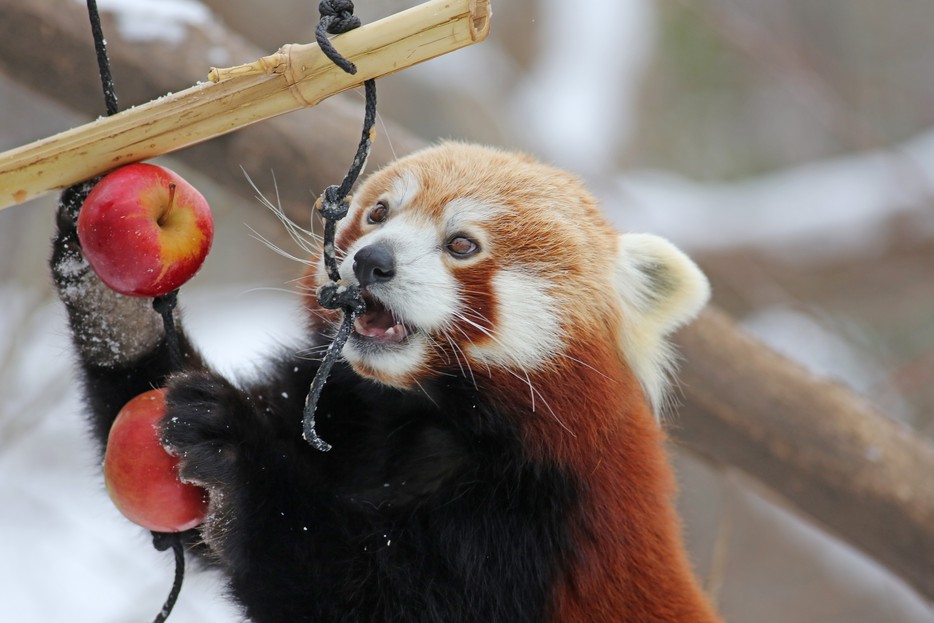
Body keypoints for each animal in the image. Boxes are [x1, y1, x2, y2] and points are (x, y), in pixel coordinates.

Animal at [52, 142, 721, 622]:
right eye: (378, 213)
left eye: (461, 244)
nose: (372, 260)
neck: (420, 412)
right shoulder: (338, 410)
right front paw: (114, 305)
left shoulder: (538, 525)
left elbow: (366, 598)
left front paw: (236, 454)